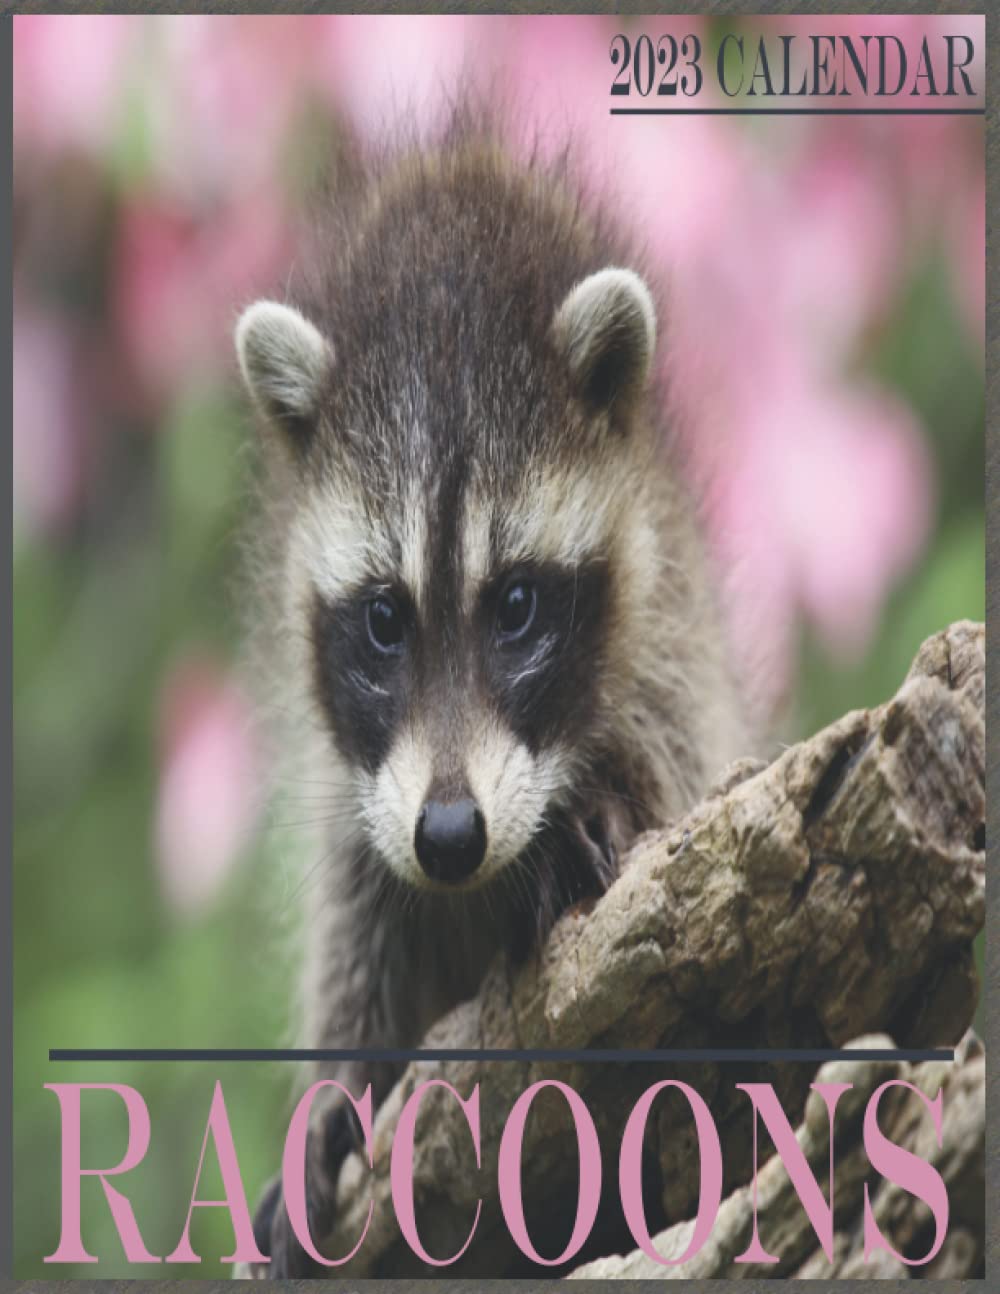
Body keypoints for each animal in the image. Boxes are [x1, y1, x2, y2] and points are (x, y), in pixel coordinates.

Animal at [235, 118, 749, 1275]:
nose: (450, 834)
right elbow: (358, 924)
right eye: (384, 619)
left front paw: (595, 815)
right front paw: (336, 1088)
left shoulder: (676, 650)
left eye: (515, 606)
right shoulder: (363, 793)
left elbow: (683, 778)